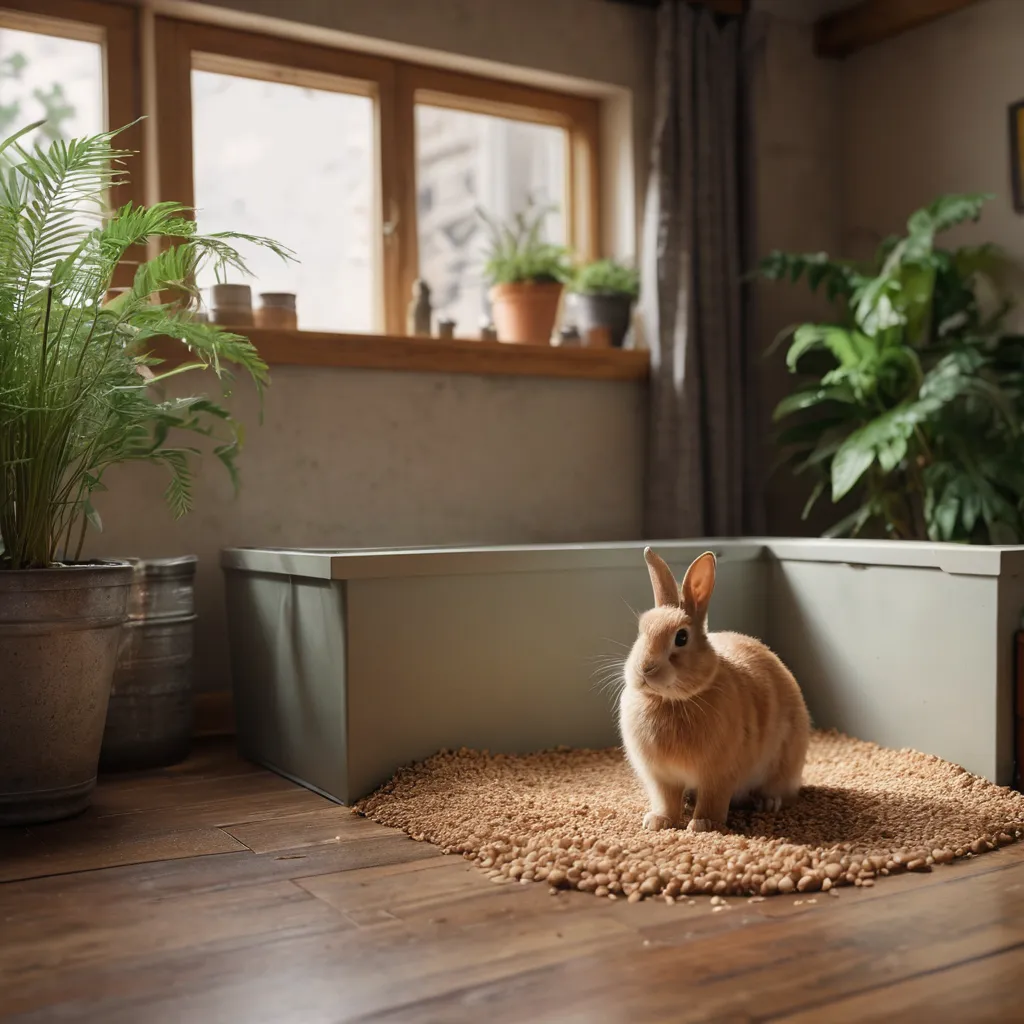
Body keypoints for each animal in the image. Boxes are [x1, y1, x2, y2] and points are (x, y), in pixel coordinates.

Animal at [618, 547, 810, 834]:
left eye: (681, 637)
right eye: (642, 631)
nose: (645, 669)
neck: (672, 700)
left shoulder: (718, 774)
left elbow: (713, 798)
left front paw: (703, 825)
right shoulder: (661, 777)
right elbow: (666, 800)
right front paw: (657, 822)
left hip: (785, 763)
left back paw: (768, 803)